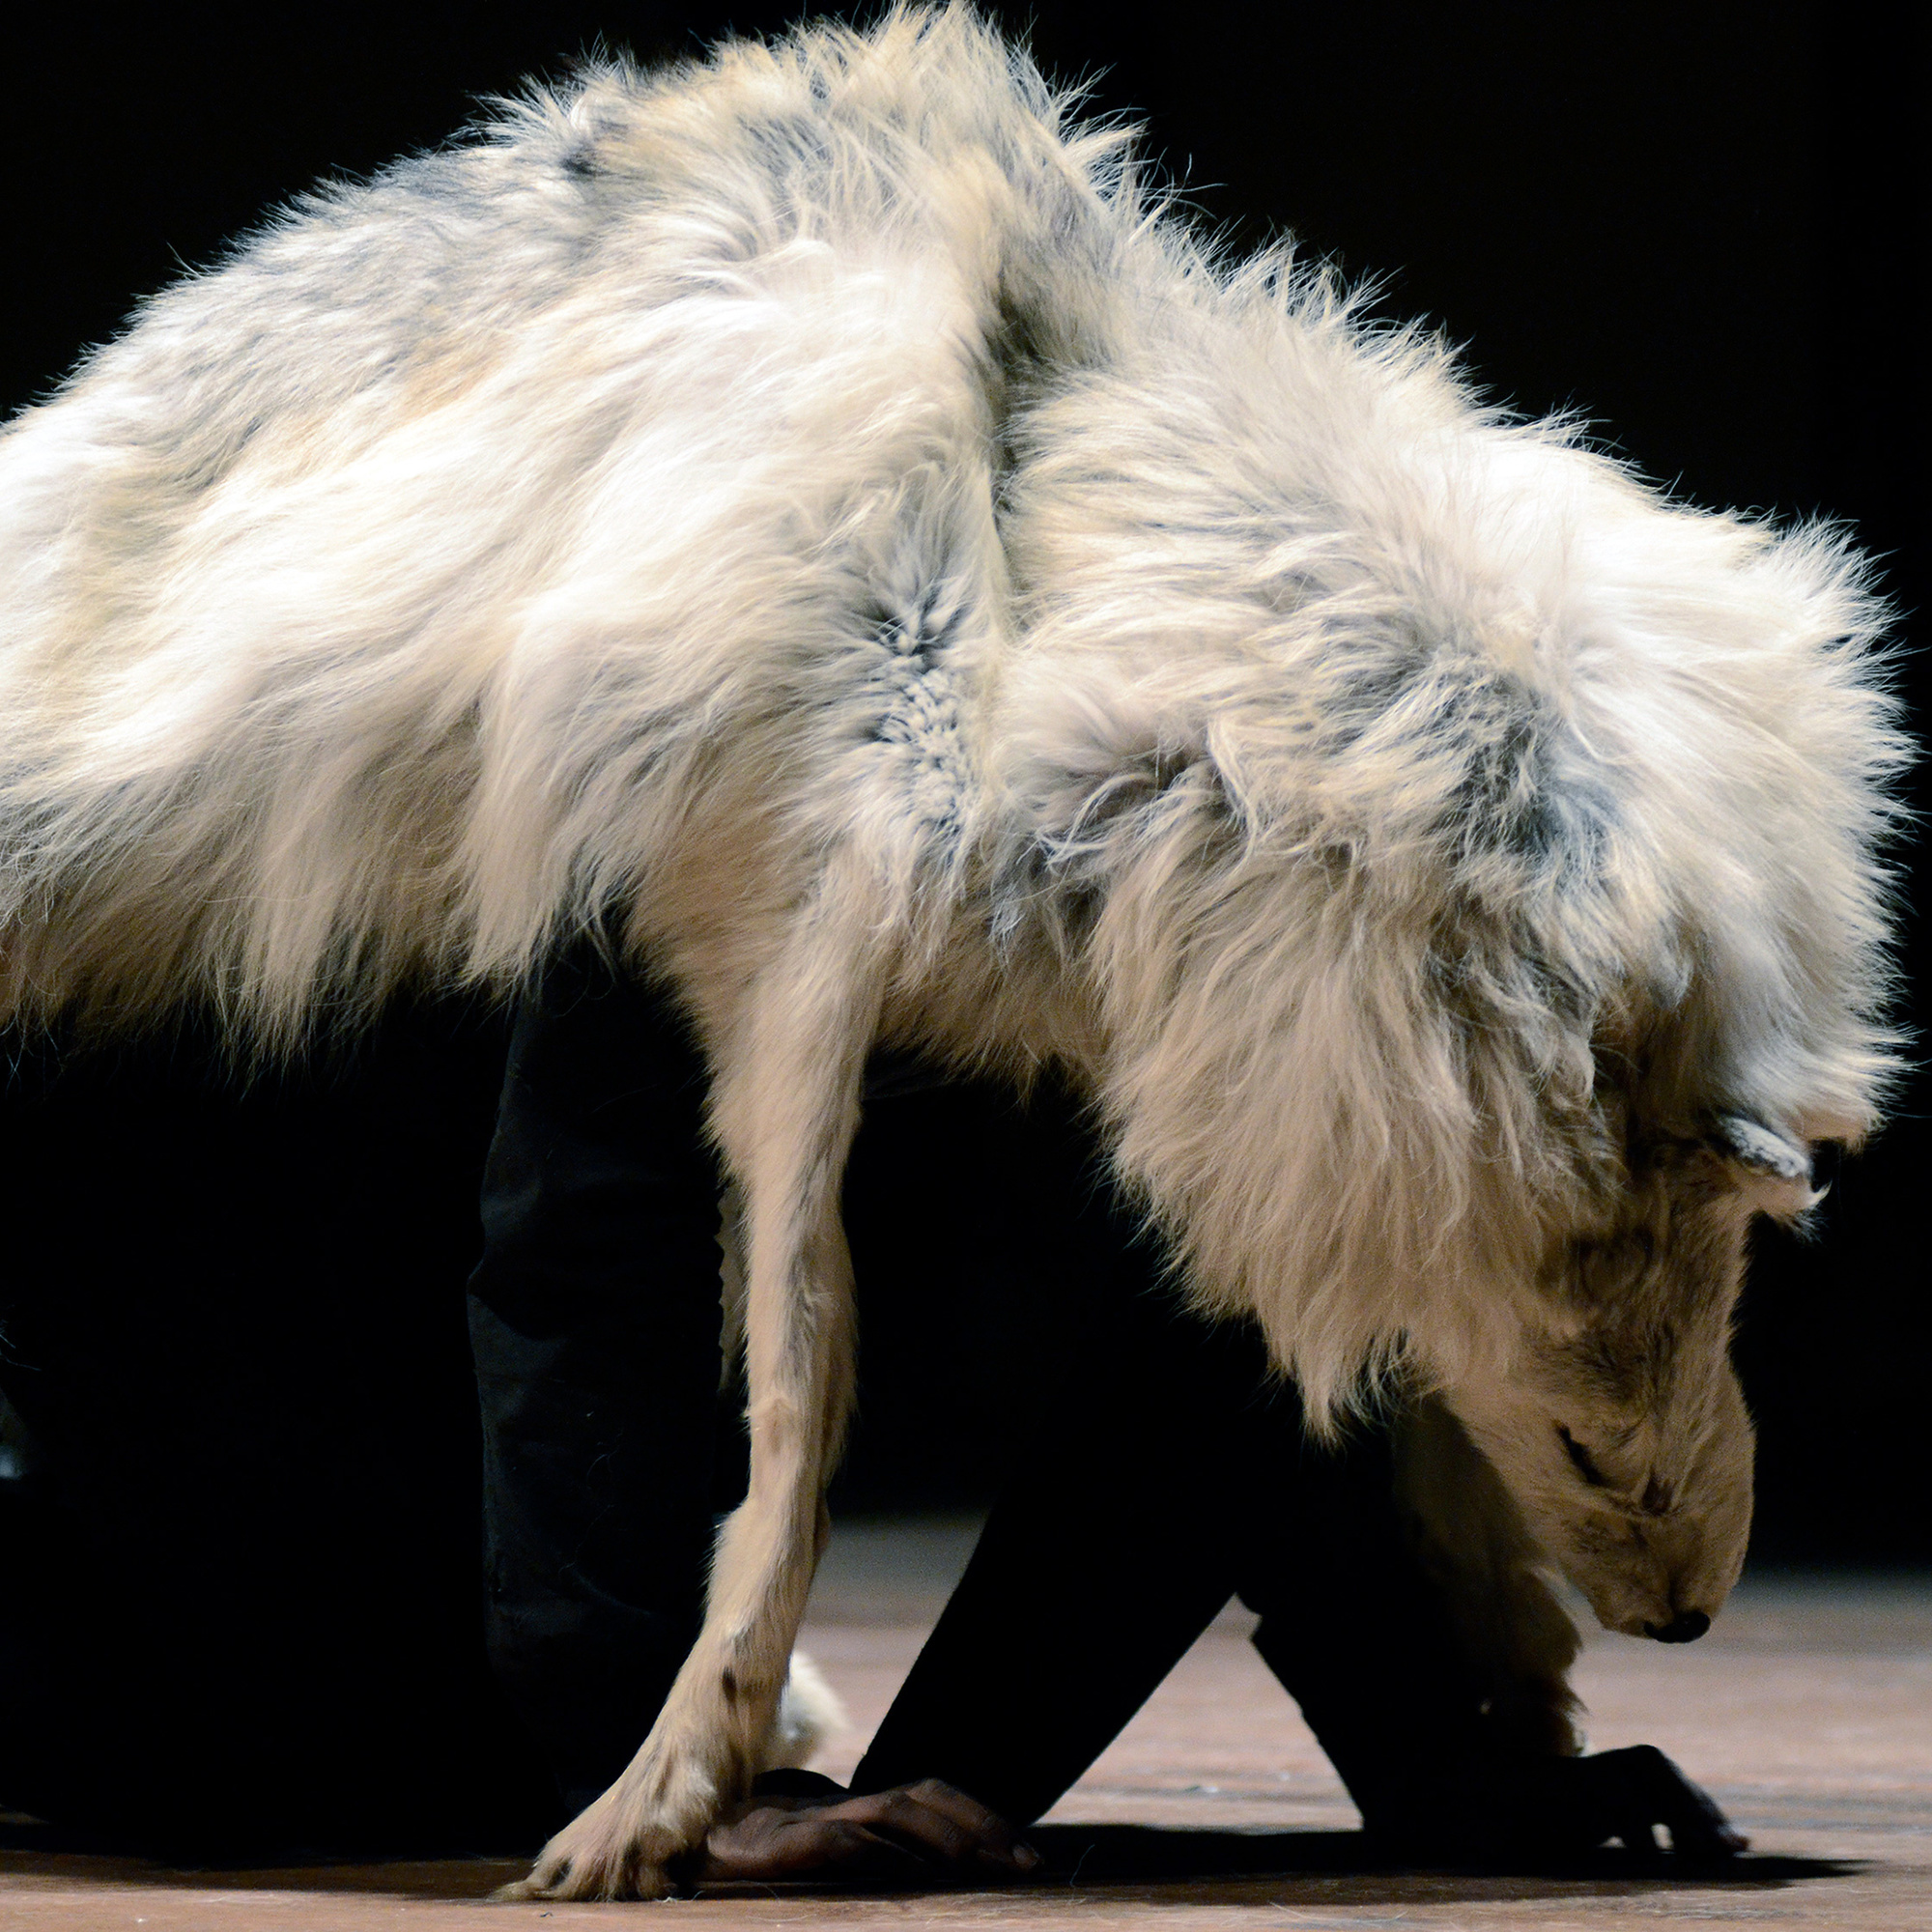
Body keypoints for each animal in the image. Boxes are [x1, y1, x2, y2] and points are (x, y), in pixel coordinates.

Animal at [0, 3, 1902, 1899]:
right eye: (1587, 1420)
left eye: (1727, 1286)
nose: (1689, 1619)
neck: (1034, 545)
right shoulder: (758, 918)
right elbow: (774, 1395)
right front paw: (680, 1787)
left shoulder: (1199, 1090)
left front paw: (1506, 1765)